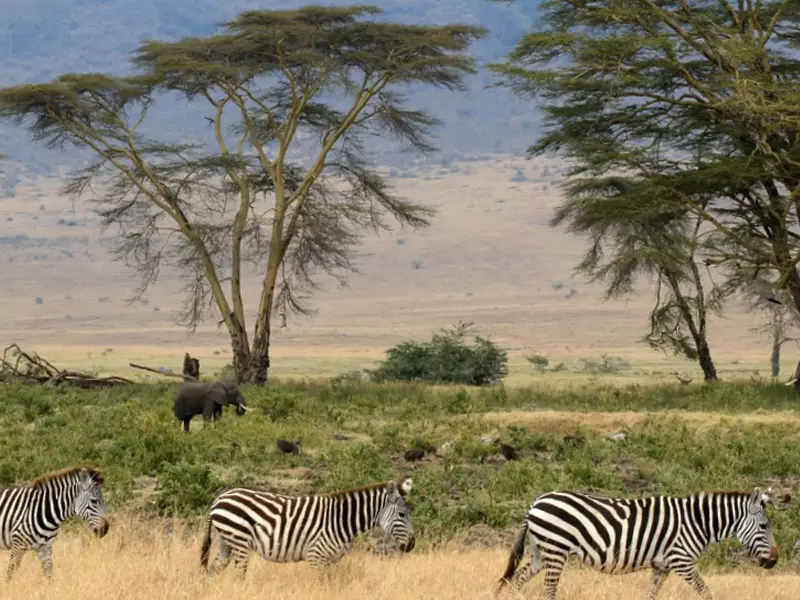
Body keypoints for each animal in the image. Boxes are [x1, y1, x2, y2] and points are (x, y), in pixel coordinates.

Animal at [200, 478, 416, 576]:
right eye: (402, 515)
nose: (412, 545)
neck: (341, 520)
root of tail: (218, 499)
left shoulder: (331, 561)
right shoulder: (316, 557)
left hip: (227, 541)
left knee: (213, 570)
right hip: (239, 541)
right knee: (239, 575)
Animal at [496, 490, 780, 596]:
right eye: (764, 527)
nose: (774, 561)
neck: (696, 523)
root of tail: (536, 502)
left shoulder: (662, 566)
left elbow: (651, 594)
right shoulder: (681, 560)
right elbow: (704, 590)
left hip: (541, 551)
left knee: (517, 580)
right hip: (556, 549)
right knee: (549, 588)